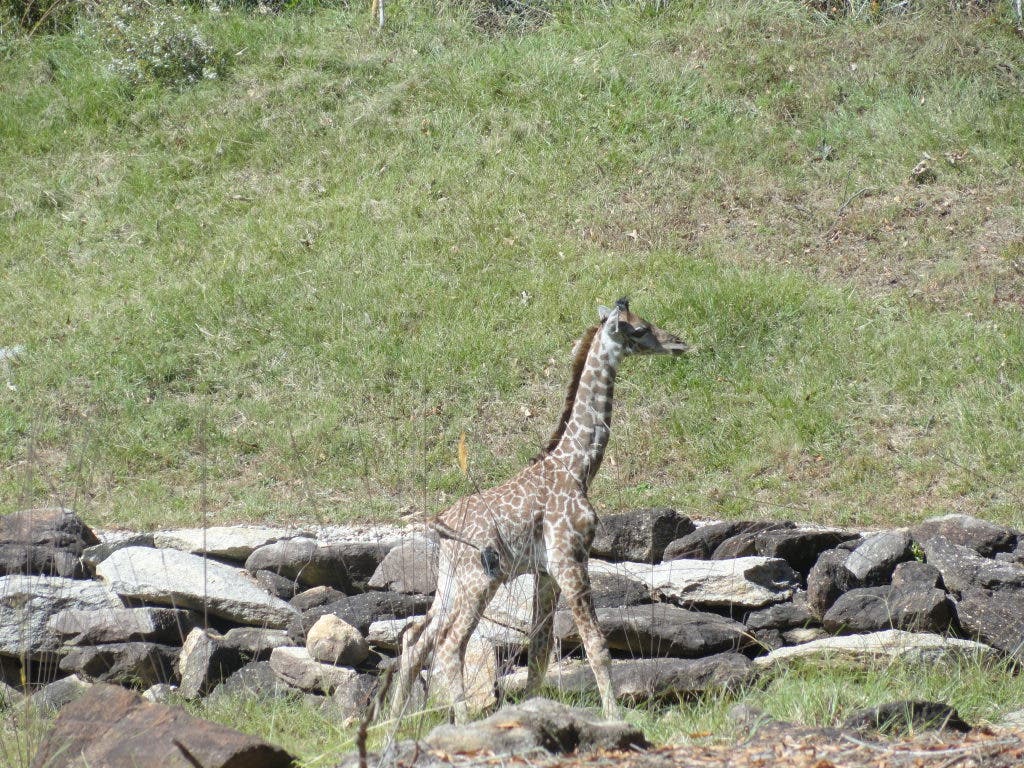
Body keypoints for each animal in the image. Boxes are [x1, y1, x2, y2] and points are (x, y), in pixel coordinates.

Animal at [389, 298, 689, 724]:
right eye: (640, 329)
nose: (678, 343)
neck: (577, 466)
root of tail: (442, 526)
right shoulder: (569, 558)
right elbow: (596, 644)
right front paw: (615, 717)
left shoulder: (546, 572)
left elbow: (540, 649)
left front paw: (533, 711)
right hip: (480, 580)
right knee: (449, 645)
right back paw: (460, 721)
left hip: (450, 580)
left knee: (415, 638)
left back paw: (390, 725)